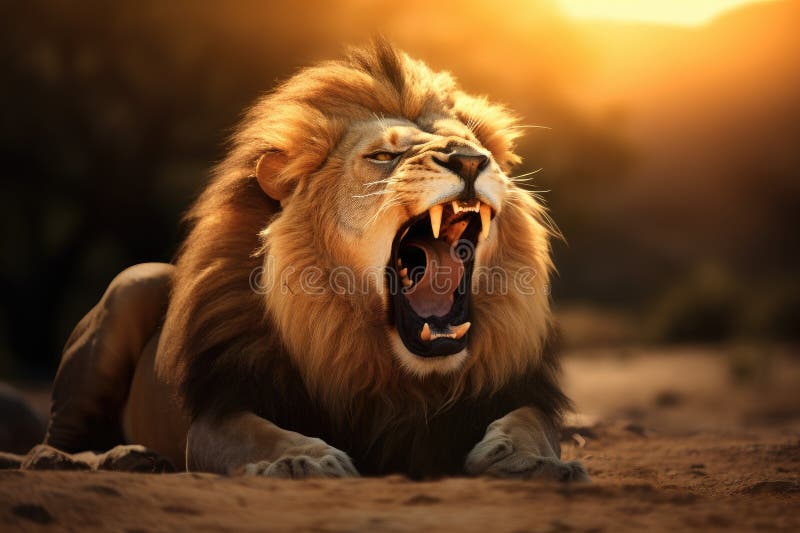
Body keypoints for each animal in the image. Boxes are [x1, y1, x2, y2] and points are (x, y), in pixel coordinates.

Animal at [43, 40, 587, 481]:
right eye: (383, 157)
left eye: (473, 145)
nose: (471, 160)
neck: (395, 370)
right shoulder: (221, 409)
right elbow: (262, 435)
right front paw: (304, 459)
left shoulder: (513, 392)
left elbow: (530, 422)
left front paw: (528, 460)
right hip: (132, 285)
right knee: (57, 436)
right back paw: (103, 457)